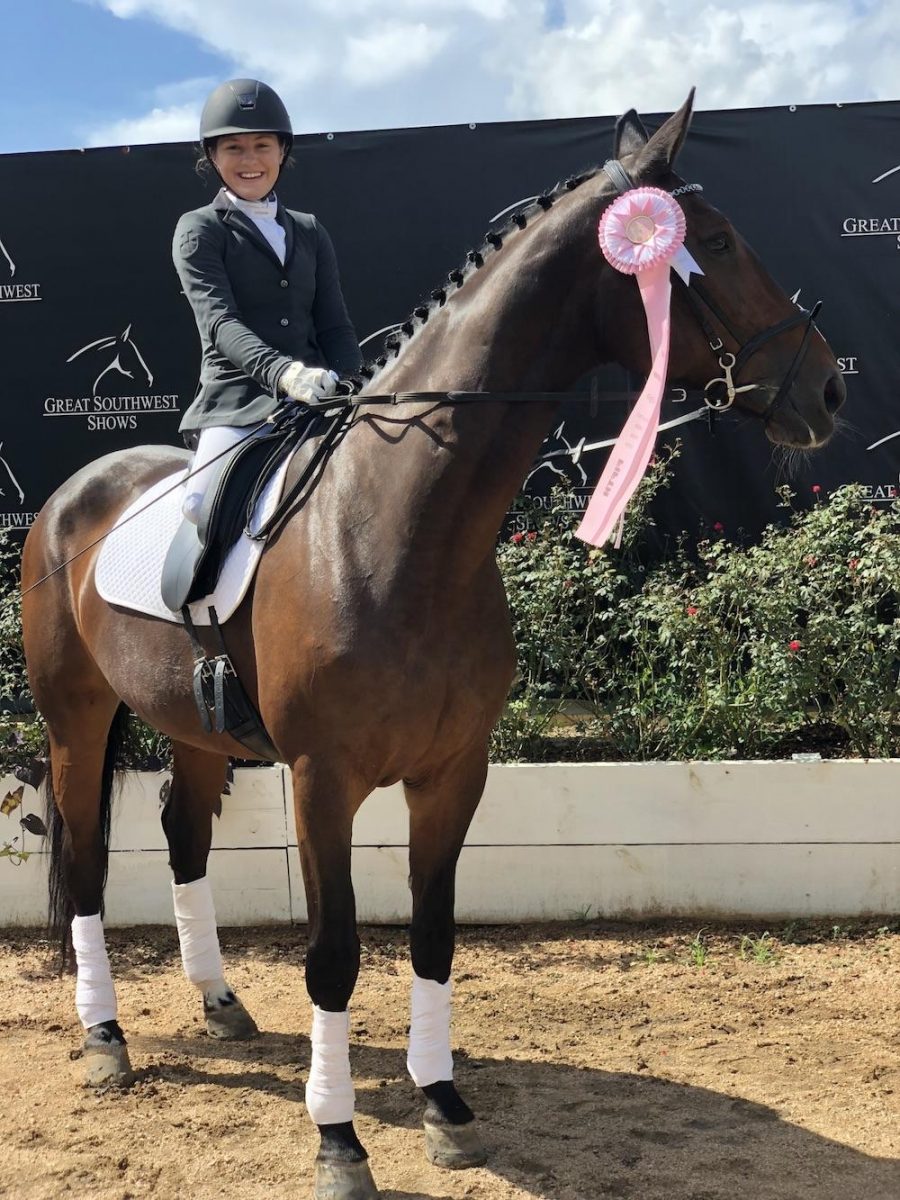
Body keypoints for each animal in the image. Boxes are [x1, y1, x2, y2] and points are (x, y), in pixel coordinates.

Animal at [21, 93, 844, 1200]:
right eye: (711, 242)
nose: (827, 393)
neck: (401, 526)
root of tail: (75, 495)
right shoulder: (322, 779)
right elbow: (333, 954)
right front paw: (339, 1142)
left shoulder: (454, 771)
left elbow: (435, 933)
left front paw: (445, 1106)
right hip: (76, 716)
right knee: (87, 858)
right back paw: (106, 1039)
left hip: (194, 729)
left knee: (182, 835)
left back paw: (222, 1007)